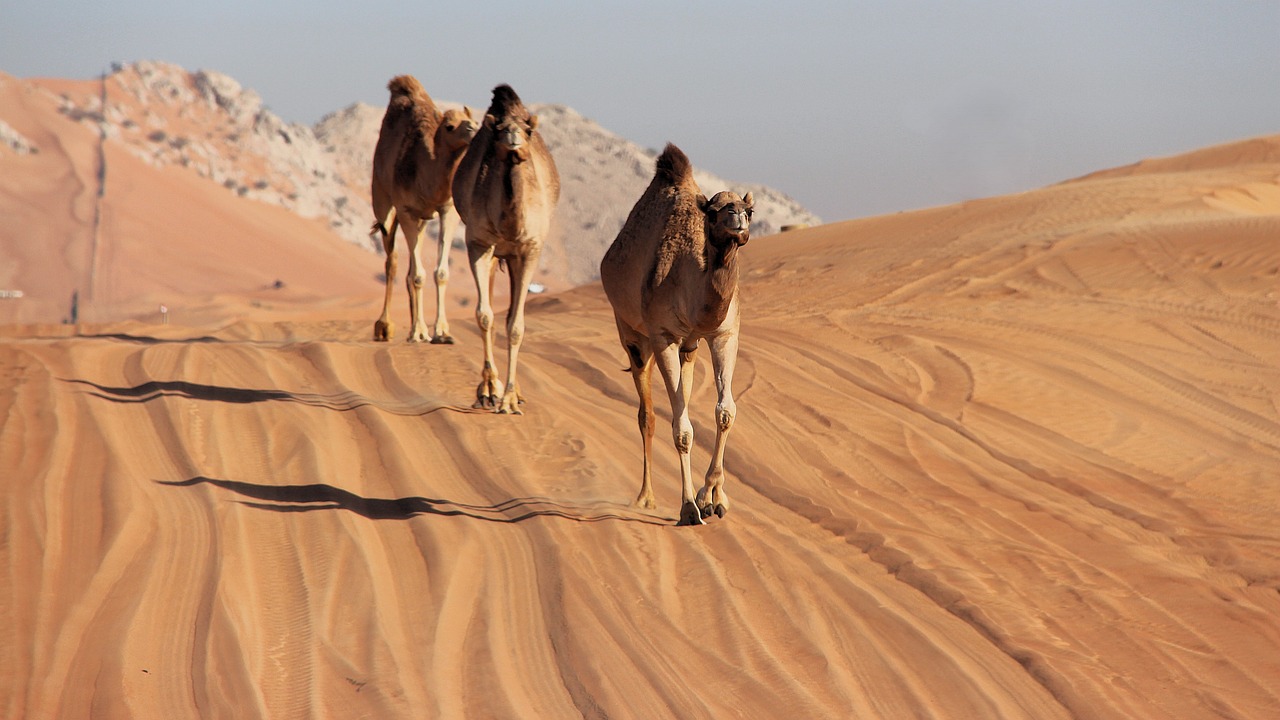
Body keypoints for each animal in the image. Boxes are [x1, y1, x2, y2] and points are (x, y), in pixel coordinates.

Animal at [370, 75, 478, 343]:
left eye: (473, 121)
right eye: (449, 126)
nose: (474, 130)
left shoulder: (447, 210)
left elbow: (440, 272)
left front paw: (442, 332)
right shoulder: (406, 209)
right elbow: (418, 275)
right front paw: (419, 331)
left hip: (419, 220)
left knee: (409, 266)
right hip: (383, 203)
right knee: (392, 261)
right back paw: (385, 327)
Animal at [452, 84, 560, 414]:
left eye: (527, 130)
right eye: (498, 130)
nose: (513, 139)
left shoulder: (530, 249)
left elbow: (516, 324)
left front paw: (510, 398)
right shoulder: (478, 243)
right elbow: (484, 315)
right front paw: (489, 390)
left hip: (513, 257)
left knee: (513, 312)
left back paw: (517, 391)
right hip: (494, 253)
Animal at [599, 144, 754, 526]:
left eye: (750, 210)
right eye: (712, 212)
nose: (738, 220)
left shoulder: (723, 333)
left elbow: (725, 412)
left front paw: (713, 497)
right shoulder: (663, 335)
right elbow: (682, 429)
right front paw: (688, 507)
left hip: (690, 346)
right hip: (633, 335)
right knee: (648, 415)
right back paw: (646, 498)